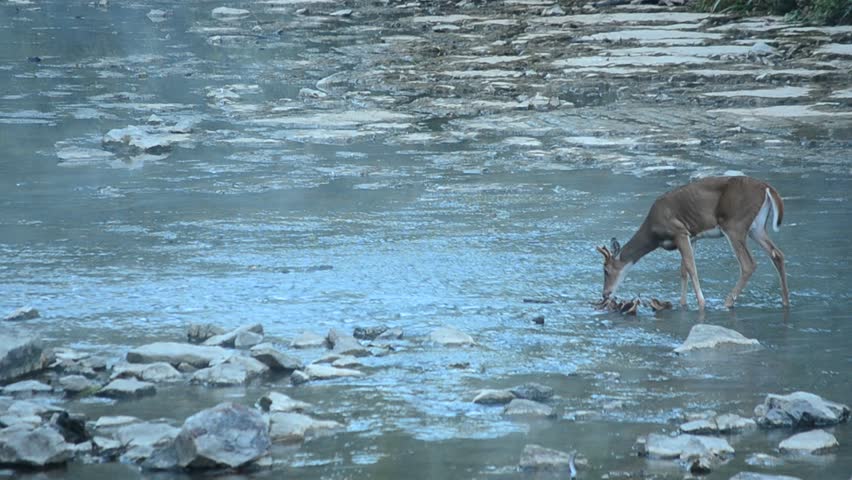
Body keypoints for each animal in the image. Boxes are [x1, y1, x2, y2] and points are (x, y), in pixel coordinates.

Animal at [596, 176, 789, 309]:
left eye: (606, 270)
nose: (605, 294)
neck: (653, 233)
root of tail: (767, 188)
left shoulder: (679, 231)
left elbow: (691, 267)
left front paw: (701, 303)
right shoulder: (692, 236)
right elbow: (683, 270)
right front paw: (682, 303)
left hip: (735, 224)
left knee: (748, 264)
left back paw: (727, 303)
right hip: (756, 227)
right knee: (777, 254)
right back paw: (786, 301)